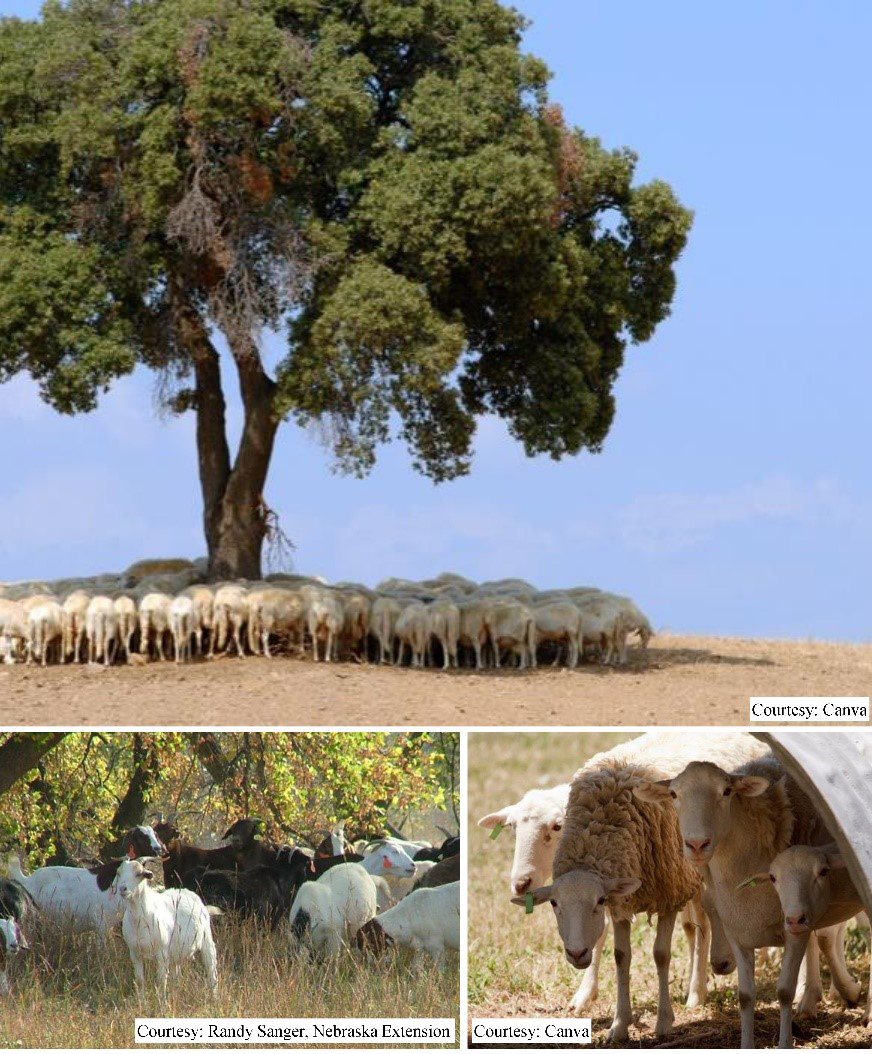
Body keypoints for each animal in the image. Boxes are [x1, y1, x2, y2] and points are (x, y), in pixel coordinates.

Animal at [113, 859, 219, 997]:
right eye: (118, 873)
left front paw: (162, 1002)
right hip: (176, 953)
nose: (122, 889)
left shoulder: (162, 953)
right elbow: (140, 981)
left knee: (211, 972)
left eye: (139, 874)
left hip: (207, 941)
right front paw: (141, 1002)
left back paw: (214, 997)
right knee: (177, 976)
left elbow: (161, 981)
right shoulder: (134, 953)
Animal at [517, 759, 704, 1043]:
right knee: (696, 927)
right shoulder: (621, 905)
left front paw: (664, 1022)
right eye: (554, 903)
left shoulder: (669, 893)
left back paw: (698, 992)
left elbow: (661, 955)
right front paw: (619, 1025)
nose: (577, 953)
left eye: (600, 900)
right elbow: (621, 956)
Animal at [633, 757, 856, 1048]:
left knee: (830, 936)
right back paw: (813, 999)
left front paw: (785, 1041)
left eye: (727, 791)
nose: (696, 845)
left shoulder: (794, 928)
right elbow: (746, 996)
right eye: (673, 794)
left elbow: (784, 990)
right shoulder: (739, 933)